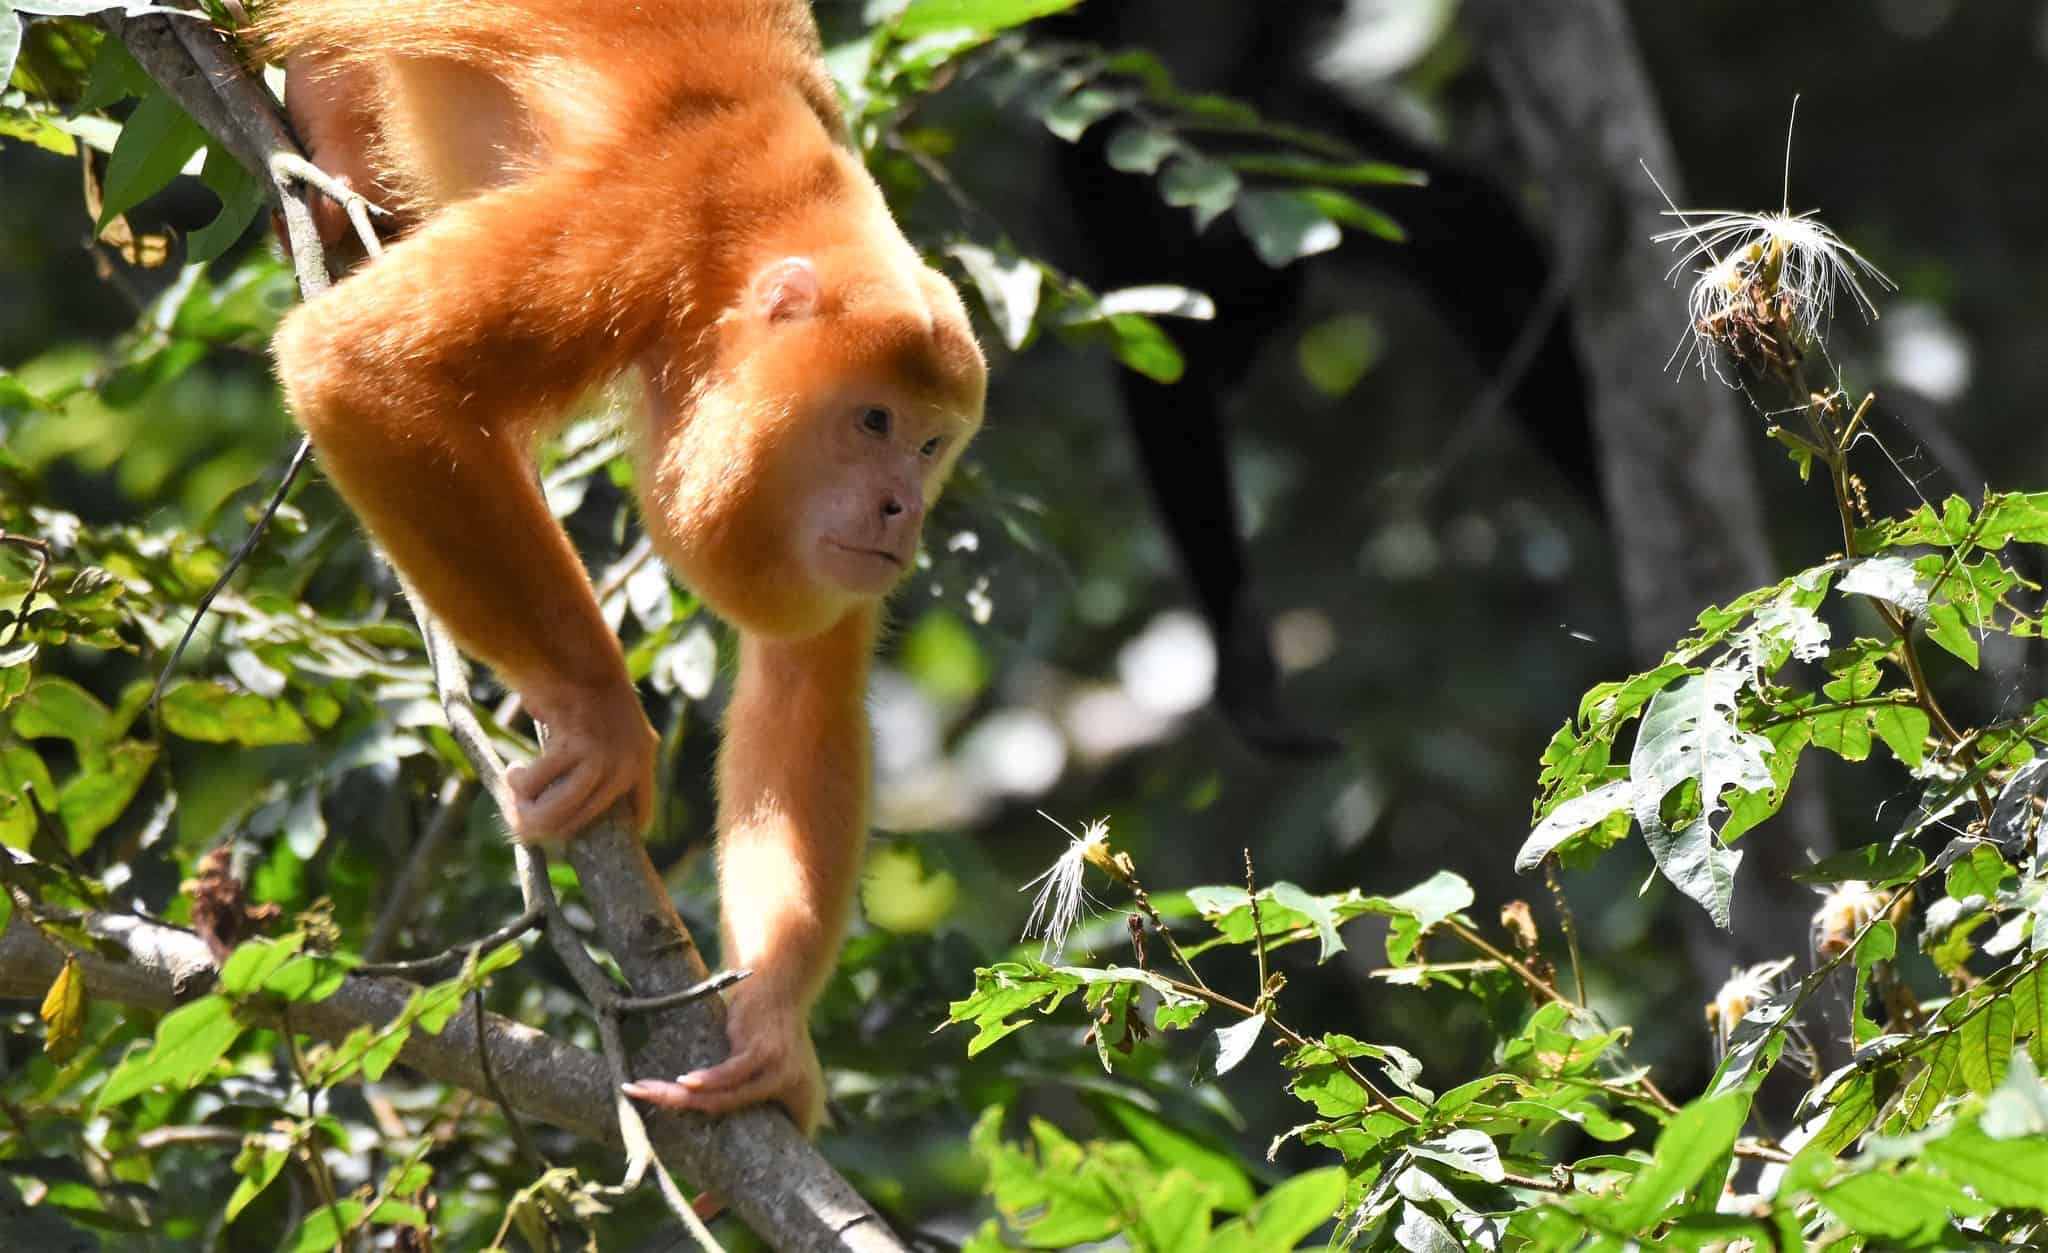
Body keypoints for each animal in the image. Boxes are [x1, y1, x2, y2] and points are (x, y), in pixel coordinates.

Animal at [259, 0, 988, 1133]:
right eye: (872, 420)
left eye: (928, 443)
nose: (902, 509)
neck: (752, 244)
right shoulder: (641, 232)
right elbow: (364, 367)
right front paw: (599, 712)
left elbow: (801, 679)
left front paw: (773, 1026)